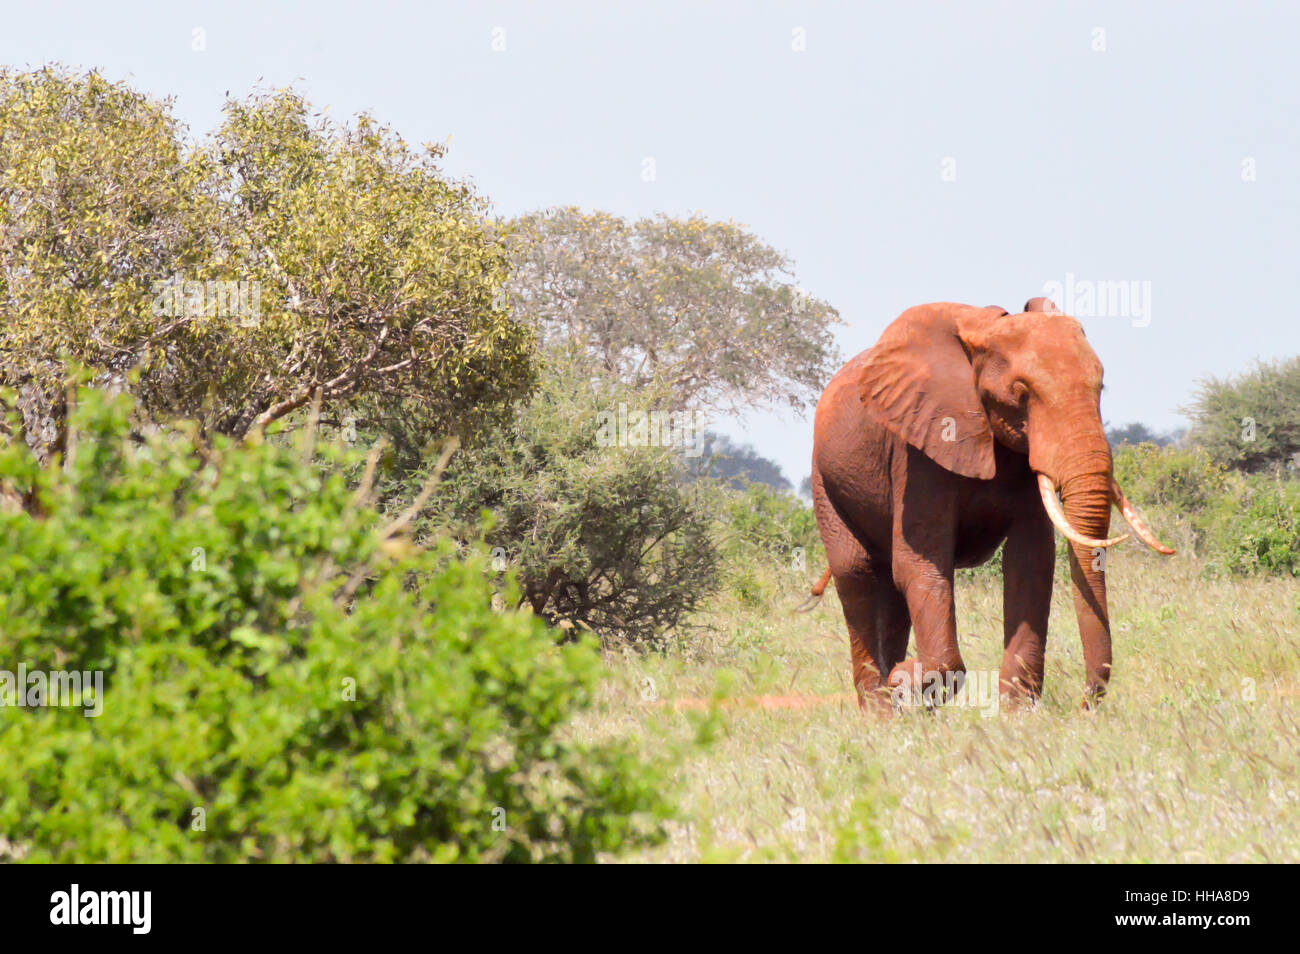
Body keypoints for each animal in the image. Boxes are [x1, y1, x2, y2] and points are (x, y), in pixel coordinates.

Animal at [805, 298, 1174, 711]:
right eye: (1021, 392)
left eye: (1101, 387)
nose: (1085, 706)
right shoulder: (917, 450)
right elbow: (921, 564)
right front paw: (904, 678)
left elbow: (1030, 562)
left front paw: (1018, 716)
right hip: (825, 477)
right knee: (857, 573)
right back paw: (881, 712)